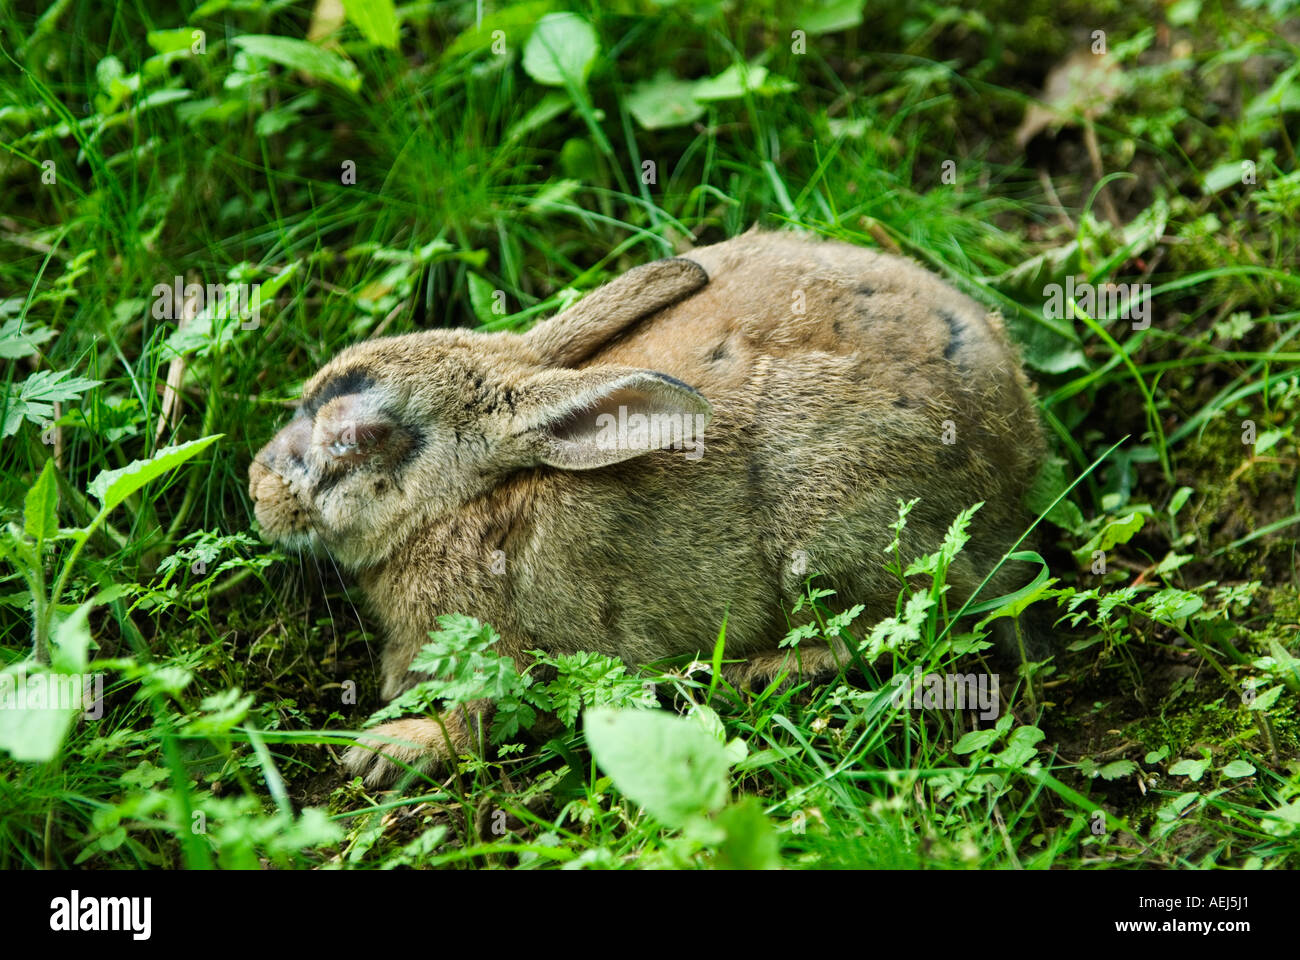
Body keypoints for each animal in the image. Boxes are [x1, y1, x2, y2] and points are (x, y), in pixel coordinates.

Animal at [248, 230, 1046, 787]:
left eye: (359, 439)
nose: (257, 490)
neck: (475, 497)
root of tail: (1018, 442)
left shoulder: (525, 656)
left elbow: (484, 717)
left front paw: (387, 751)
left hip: (833, 527)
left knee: (906, 623)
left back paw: (754, 673)